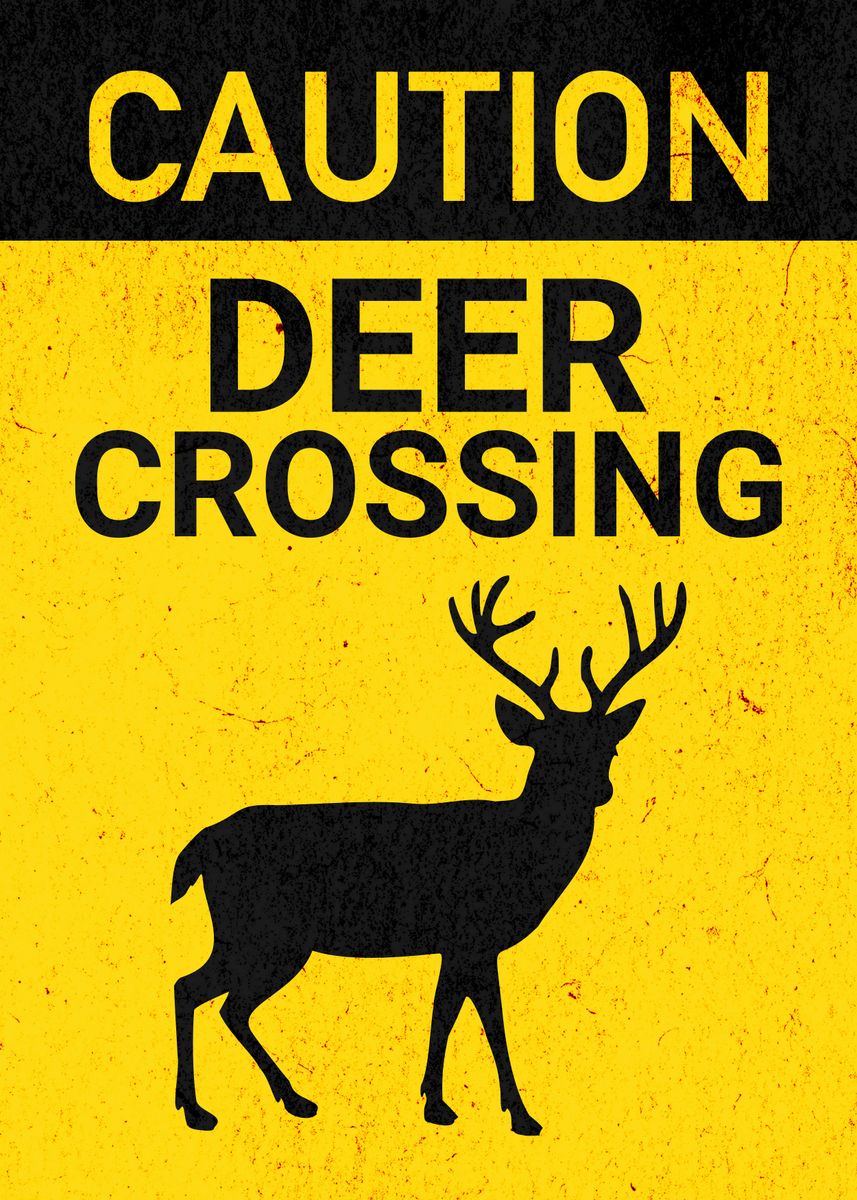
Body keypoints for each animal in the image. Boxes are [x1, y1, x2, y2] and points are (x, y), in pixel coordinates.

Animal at [172, 577, 687, 1136]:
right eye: (546, 750)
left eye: (607, 748)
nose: (600, 790)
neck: (517, 852)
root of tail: (200, 844)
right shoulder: (473, 935)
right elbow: (482, 1019)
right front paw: (509, 1113)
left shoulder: (459, 944)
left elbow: (448, 1012)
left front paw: (441, 1103)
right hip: (265, 932)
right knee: (204, 994)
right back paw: (212, 1108)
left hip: (254, 935)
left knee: (212, 998)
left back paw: (270, 1100)